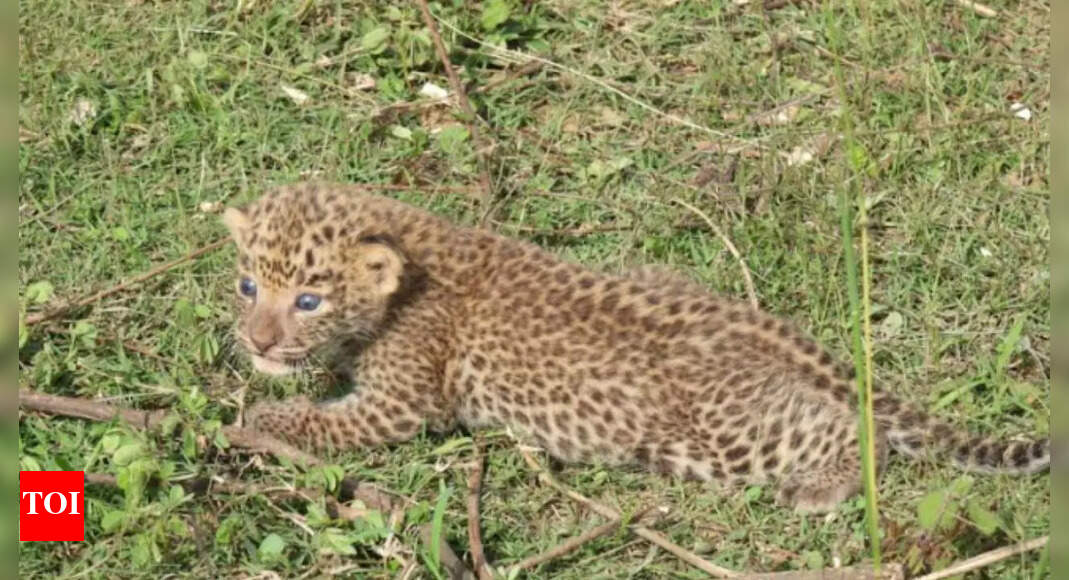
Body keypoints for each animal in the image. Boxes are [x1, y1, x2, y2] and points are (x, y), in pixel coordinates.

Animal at [221, 182, 1049, 513]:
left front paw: (257, 420)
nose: (257, 339)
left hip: (723, 437)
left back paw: (823, 486)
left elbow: (327, 420)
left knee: (847, 429)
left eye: (307, 299)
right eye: (246, 286)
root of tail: (765, 328)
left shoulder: (400, 404)